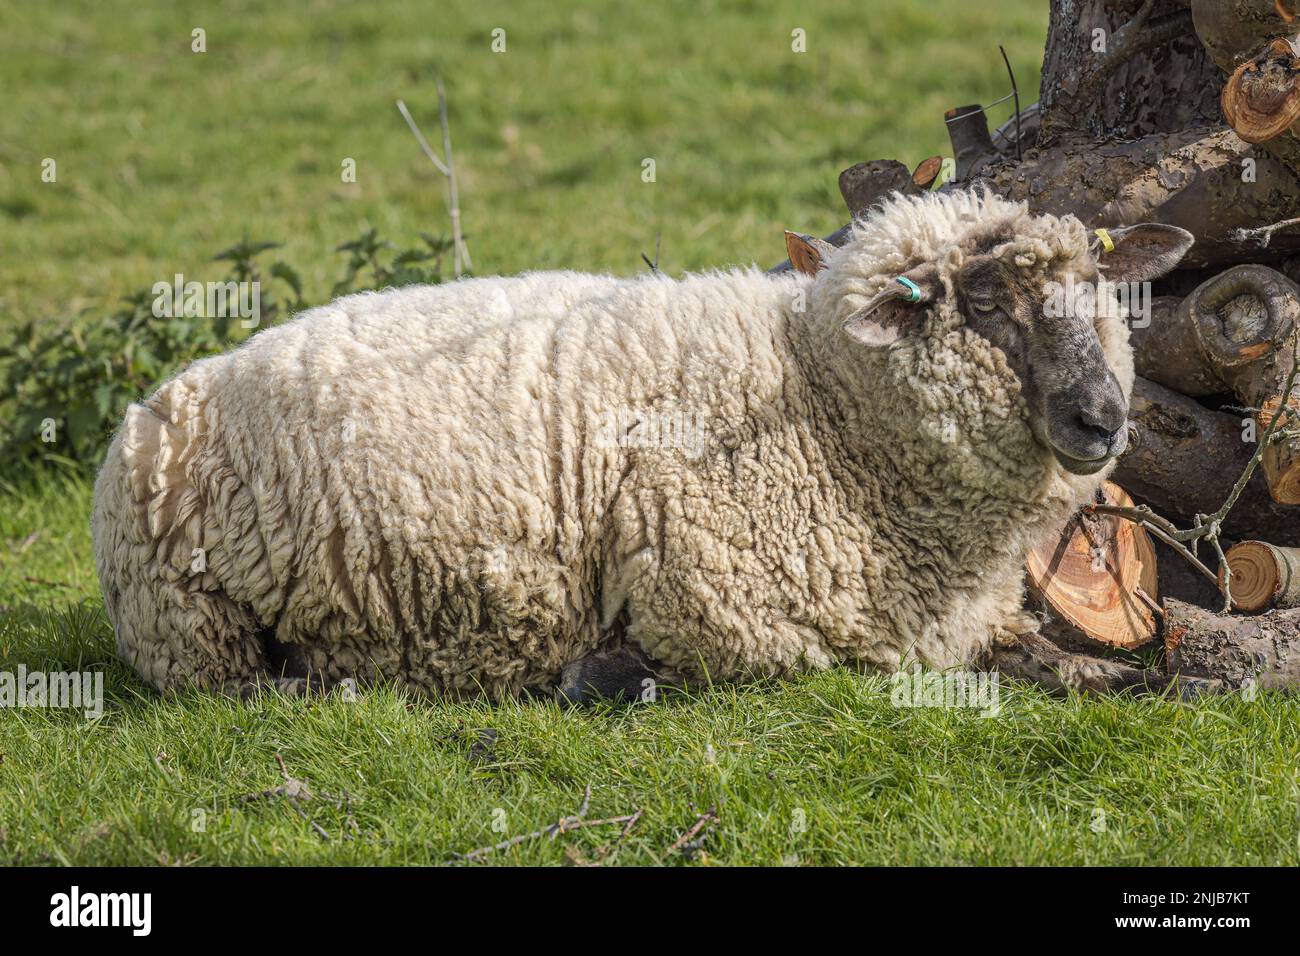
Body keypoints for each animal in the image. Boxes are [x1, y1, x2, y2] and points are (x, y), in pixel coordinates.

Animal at [91, 189, 1194, 701]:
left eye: (1097, 288)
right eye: (987, 300)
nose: (1103, 417)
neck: (822, 400)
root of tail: (163, 402)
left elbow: (1054, 661)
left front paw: (1139, 678)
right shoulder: (726, 623)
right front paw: (592, 675)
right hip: (197, 634)